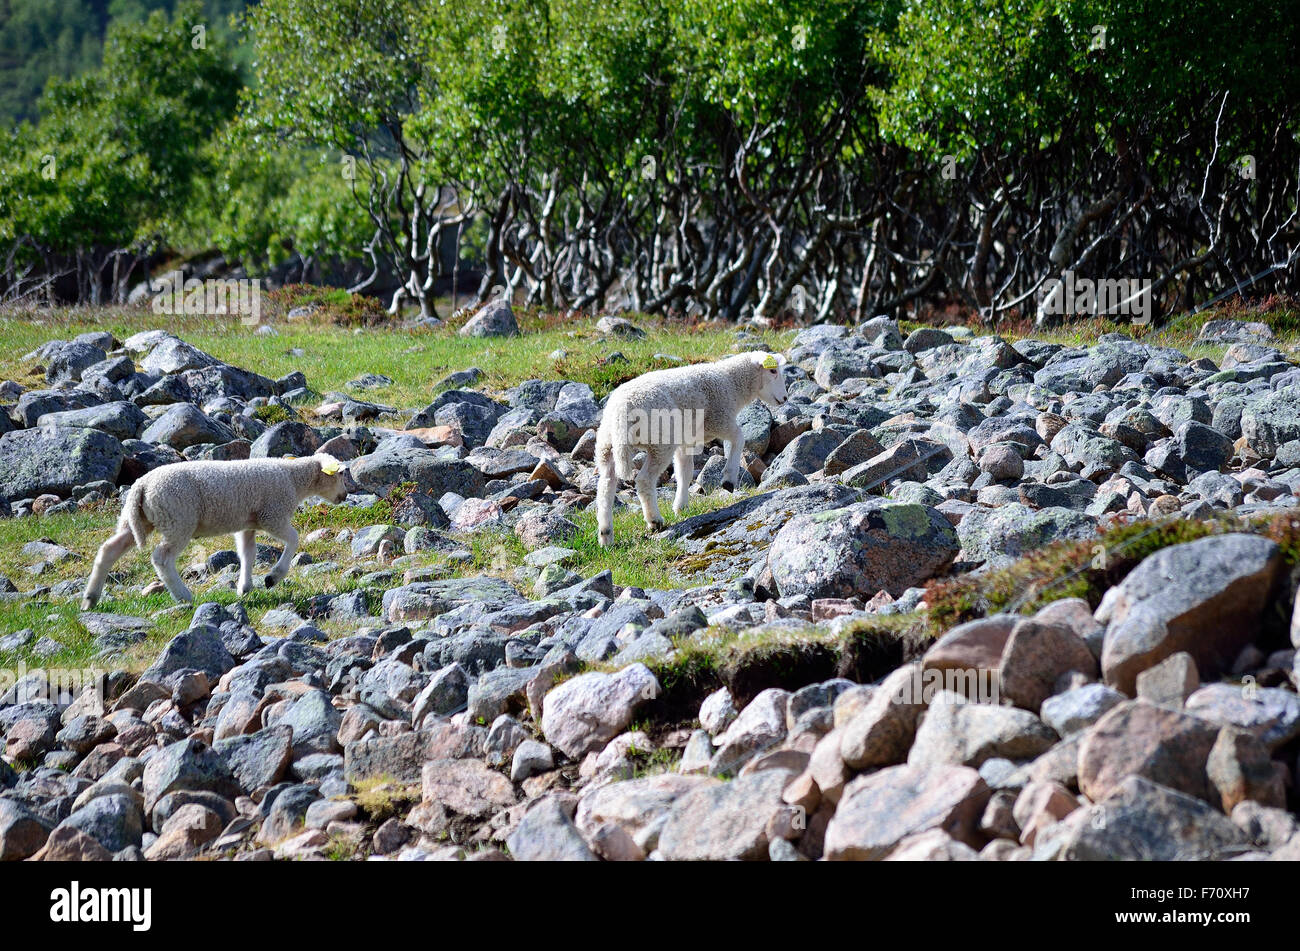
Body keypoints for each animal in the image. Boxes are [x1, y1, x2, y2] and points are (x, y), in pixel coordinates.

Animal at [81, 454, 352, 609]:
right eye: (340, 474)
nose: (345, 496)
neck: (294, 480)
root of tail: (141, 485)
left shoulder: (248, 524)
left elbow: (248, 554)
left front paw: (244, 587)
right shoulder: (272, 515)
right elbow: (294, 539)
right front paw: (272, 577)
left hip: (139, 520)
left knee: (109, 549)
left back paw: (90, 599)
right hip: (179, 519)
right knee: (161, 558)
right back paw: (184, 596)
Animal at [595, 351, 788, 546]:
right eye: (772, 371)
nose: (785, 398)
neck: (731, 383)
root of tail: (621, 412)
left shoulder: (686, 440)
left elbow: (684, 472)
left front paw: (681, 506)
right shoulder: (719, 420)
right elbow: (739, 439)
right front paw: (728, 480)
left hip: (606, 445)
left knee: (605, 486)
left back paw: (606, 535)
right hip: (660, 441)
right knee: (644, 480)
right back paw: (654, 520)